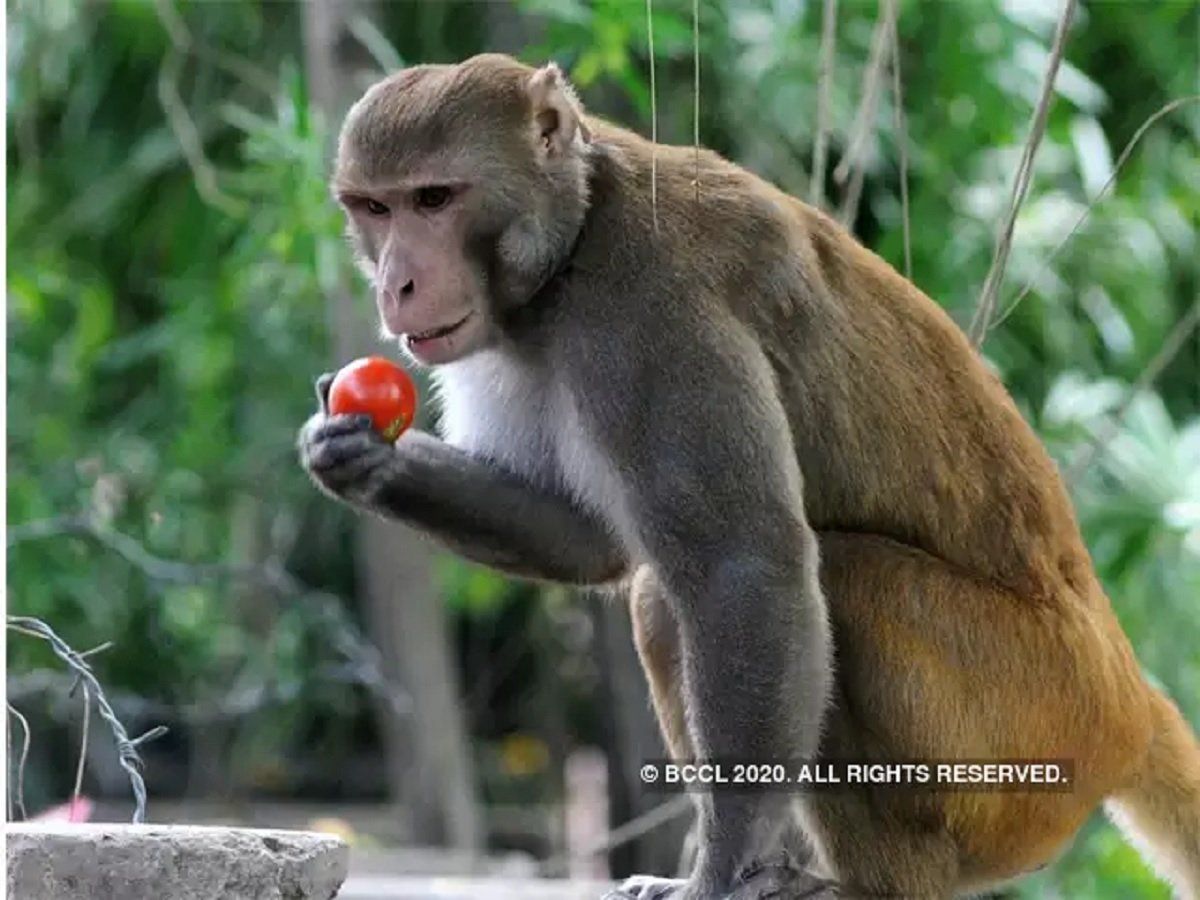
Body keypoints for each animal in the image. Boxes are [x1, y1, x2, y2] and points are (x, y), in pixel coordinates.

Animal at [298, 54, 1200, 899]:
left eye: (434, 199)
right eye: (374, 208)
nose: (398, 282)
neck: (572, 244)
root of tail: (1129, 698)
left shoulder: (647, 310)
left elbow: (746, 569)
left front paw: (718, 876)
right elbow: (593, 542)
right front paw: (360, 455)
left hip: (1031, 733)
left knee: (835, 581)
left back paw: (866, 884)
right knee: (660, 597)